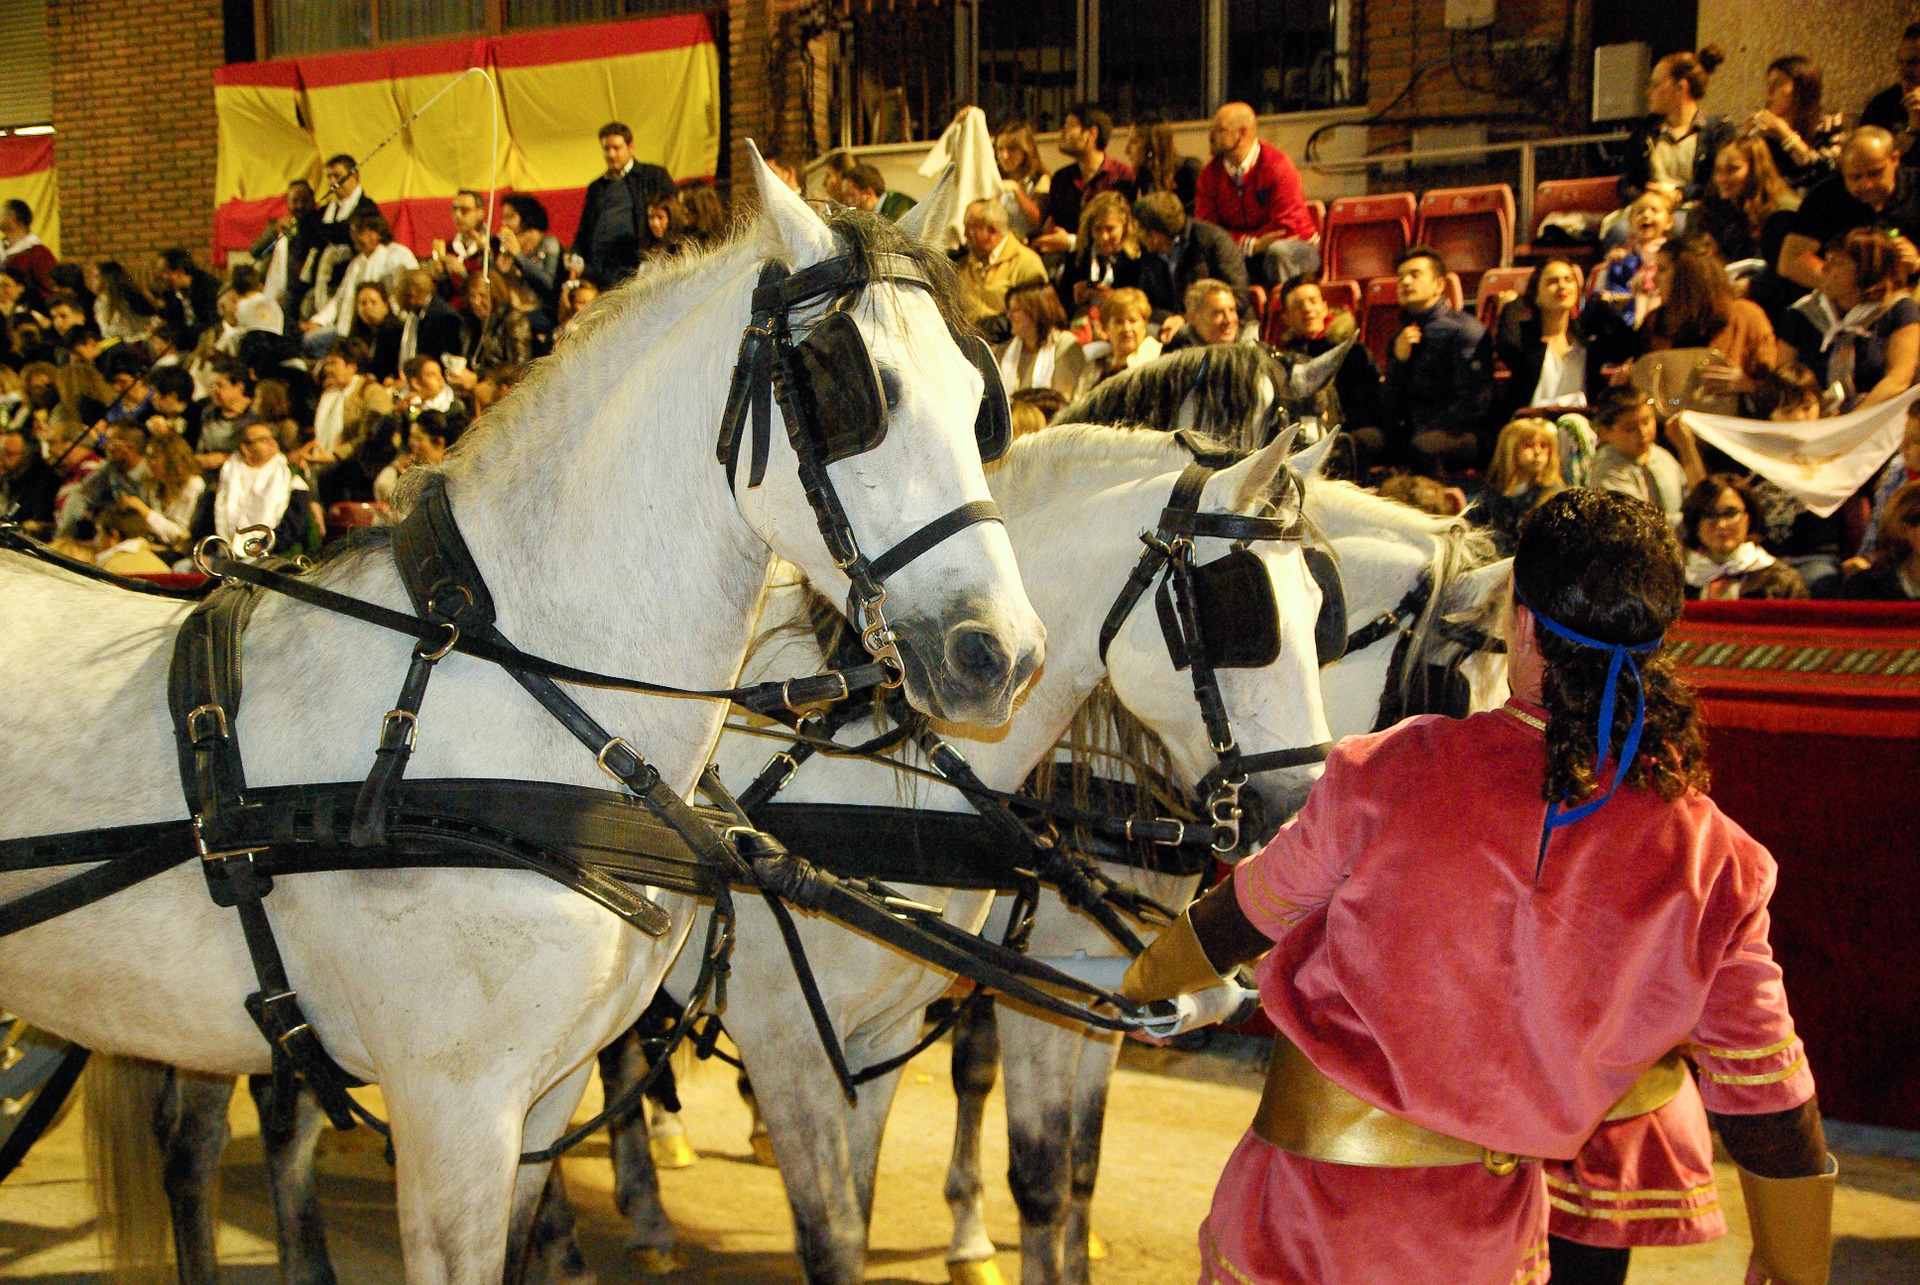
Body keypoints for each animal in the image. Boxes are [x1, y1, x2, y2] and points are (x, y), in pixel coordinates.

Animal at [0, 147, 1044, 1284]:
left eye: (979, 401)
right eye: (855, 389)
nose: (1001, 654)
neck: (518, 697)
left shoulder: (547, 1091)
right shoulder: (454, 1105)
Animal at [939, 441, 1513, 1285]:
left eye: (1320, 618)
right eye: (1448, 705)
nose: (1294, 811)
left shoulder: (1113, 977)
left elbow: (1082, 1162)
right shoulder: (1039, 982)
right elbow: (1041, 1172)